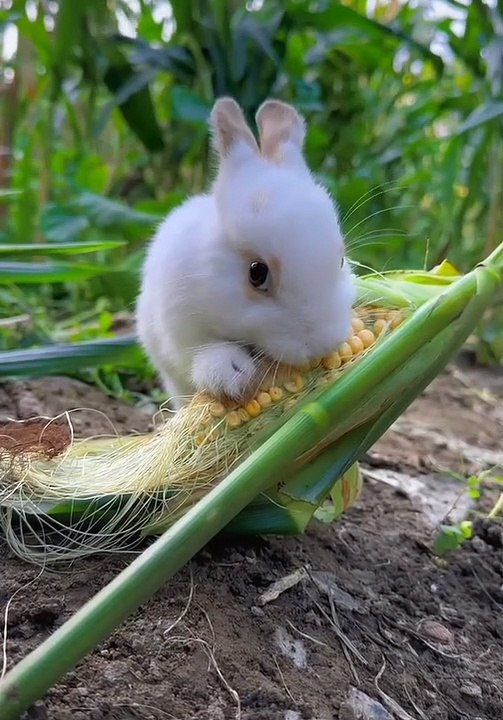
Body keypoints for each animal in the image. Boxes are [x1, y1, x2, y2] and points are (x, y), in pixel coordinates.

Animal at [135, 97, 357, 409]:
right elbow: (203, 351)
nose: (322, 345)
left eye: (340, 260)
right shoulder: (180, 329)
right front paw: (232, 376)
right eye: (257, 273)